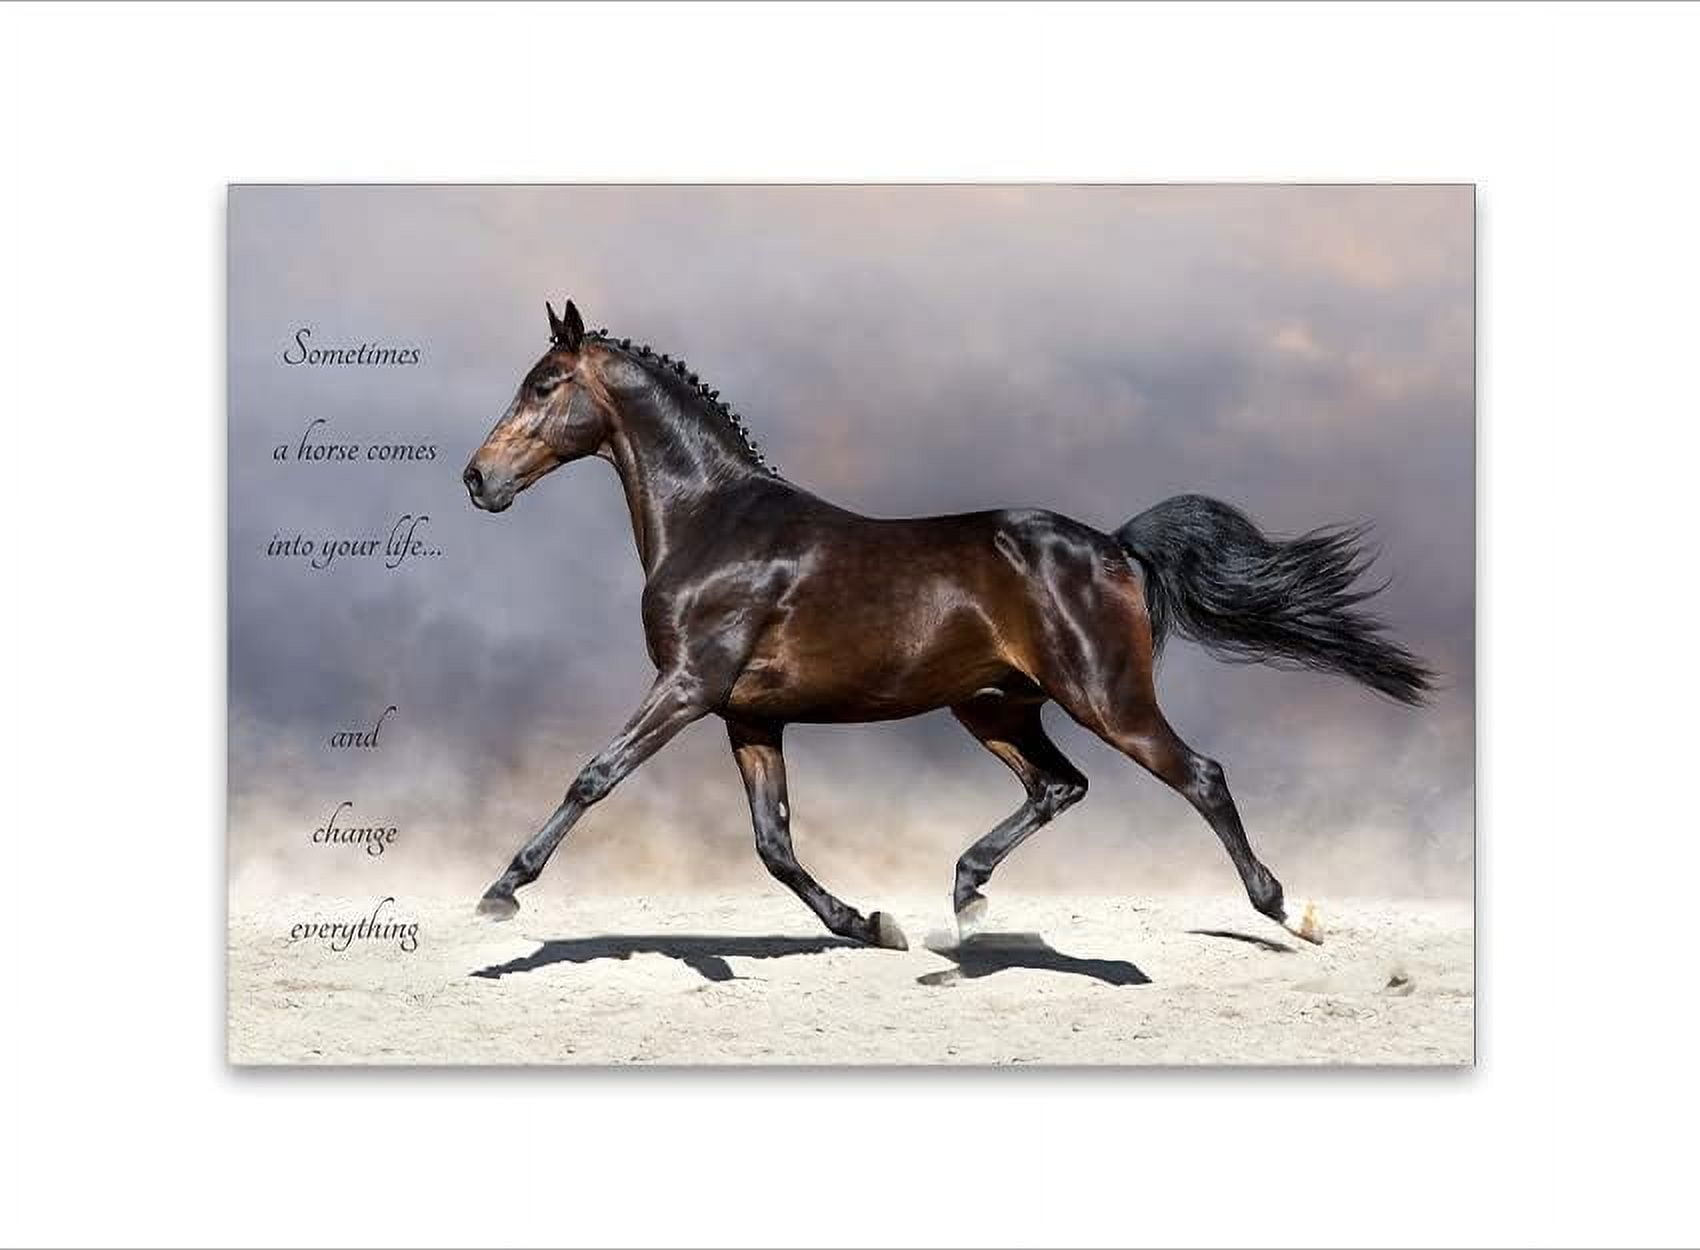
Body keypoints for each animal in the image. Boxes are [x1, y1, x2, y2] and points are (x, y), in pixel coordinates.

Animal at [461, 299, 1433, 950]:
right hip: (994, 706)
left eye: (544, 385)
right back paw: (963, 901)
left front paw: (502, 891)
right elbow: (774, 843)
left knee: (1200, 776)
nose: (478, 481)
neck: (715, 523)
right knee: (1059, 786)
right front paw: (867, 922)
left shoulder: (689, 686)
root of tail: (1116, 548)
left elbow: (594, 777)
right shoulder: (749, 715)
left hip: (1106, 699)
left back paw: (1287, 912)